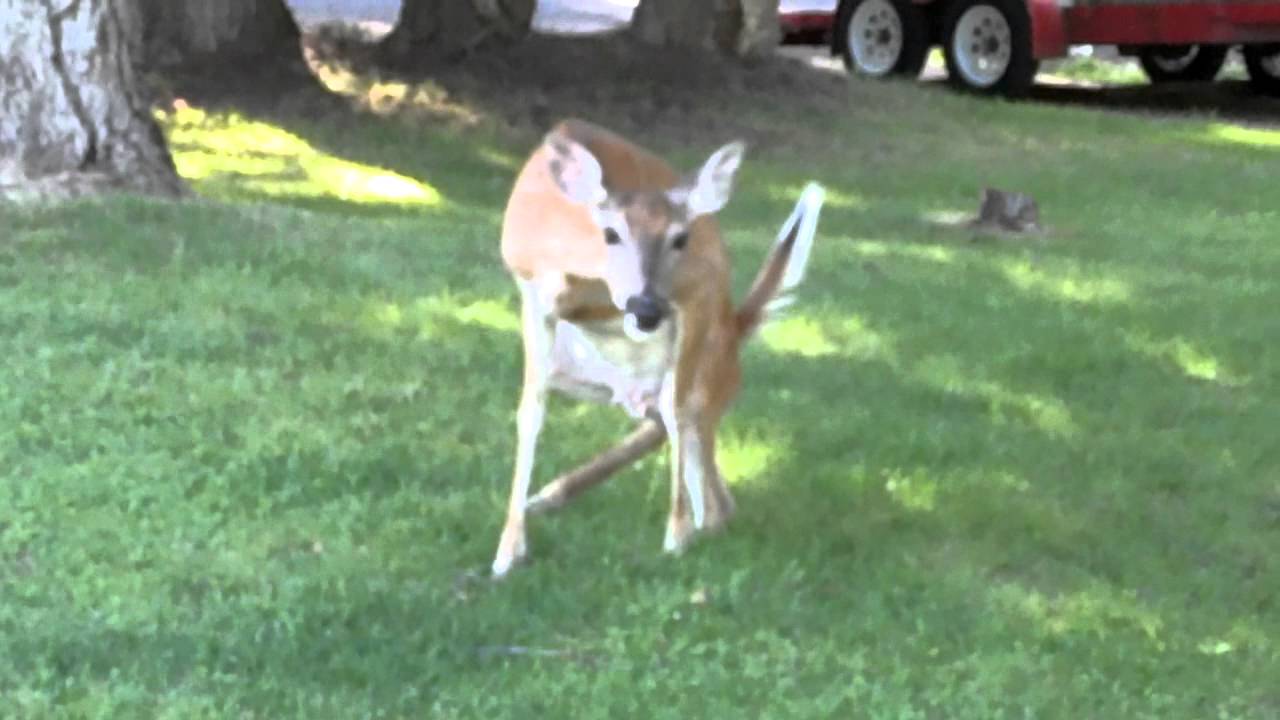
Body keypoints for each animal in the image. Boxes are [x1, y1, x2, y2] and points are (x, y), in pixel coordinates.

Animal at [491, 118, 825, 577]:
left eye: (680, 238)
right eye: (611, 233)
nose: (645, 308)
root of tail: (737, 327)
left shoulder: (695, 291)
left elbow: (676, 407)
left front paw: (676, 536)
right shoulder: (533, 294)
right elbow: (530, 414)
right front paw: (509, 550)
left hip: (709, 367)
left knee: (698, 452)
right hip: (581, 374)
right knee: (675, 441)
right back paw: (549, 495)